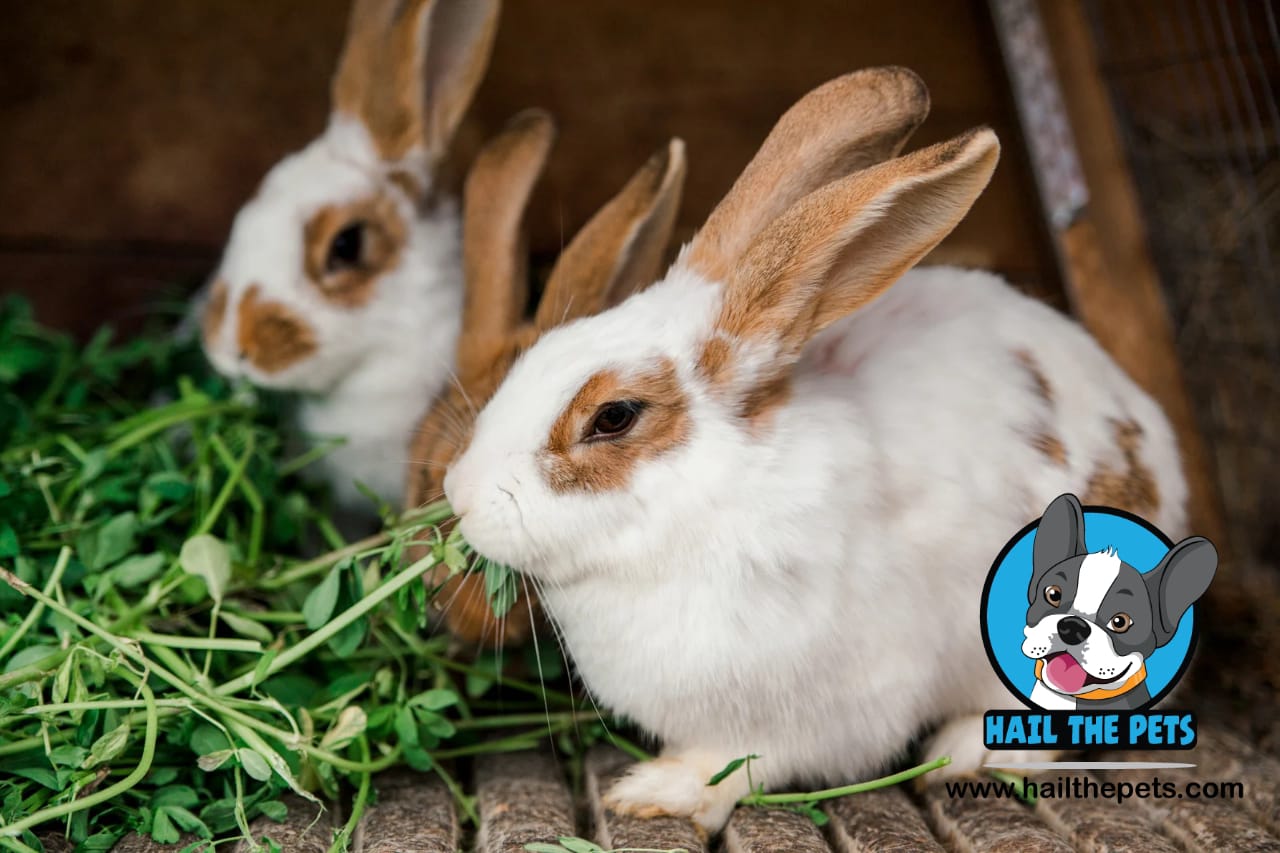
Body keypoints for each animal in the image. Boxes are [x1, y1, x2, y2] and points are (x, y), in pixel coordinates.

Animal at [440, 67, 1189, 831]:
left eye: (612, 417)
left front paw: (657, 792)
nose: (458, 495)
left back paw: (968, 754)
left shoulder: (829, 705)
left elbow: (743, 761)